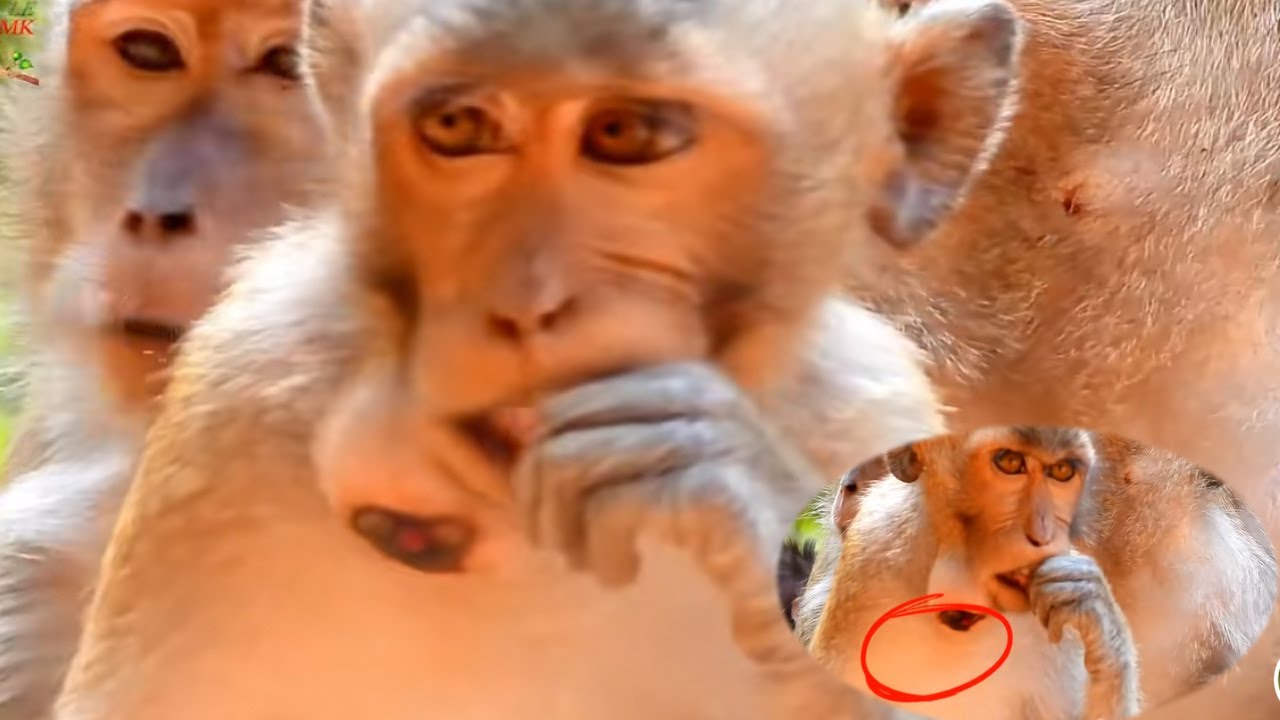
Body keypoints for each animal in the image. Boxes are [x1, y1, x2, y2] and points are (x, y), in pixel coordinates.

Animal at [49, 0, 1028, 718]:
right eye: (458, 125)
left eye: (629, 136)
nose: (522, 305)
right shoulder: (247, 381)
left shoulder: (866, 408)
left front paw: (716, 473)